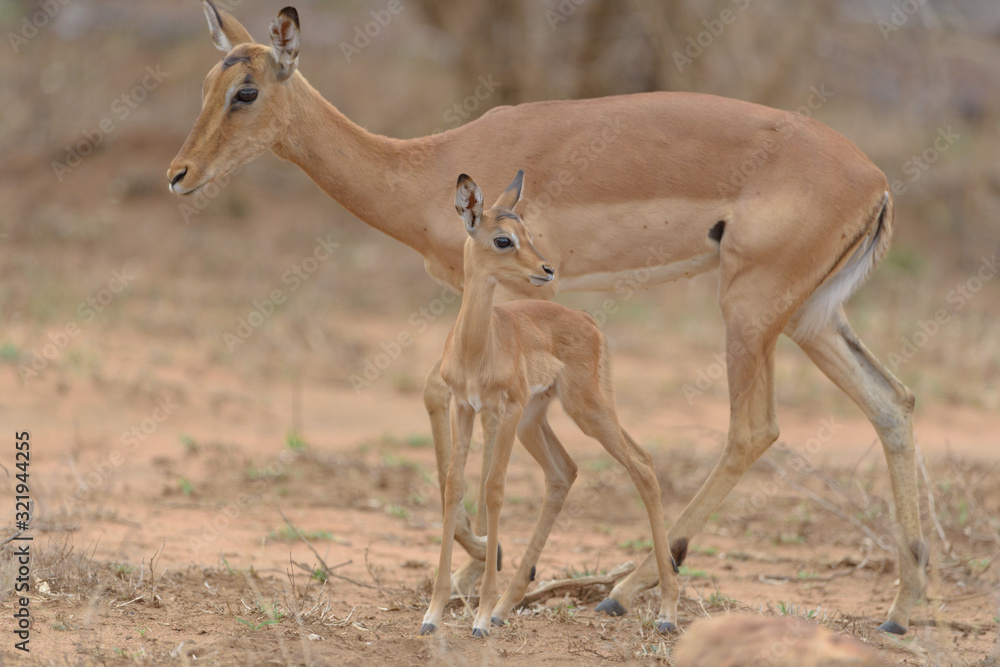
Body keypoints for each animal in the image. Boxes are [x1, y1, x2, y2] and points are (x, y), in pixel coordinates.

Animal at [421, 170, 679, 637]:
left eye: (530, 233)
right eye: (503, 239)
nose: (547, 269)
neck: (477, 346)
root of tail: (588, 320)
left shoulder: (502, 411)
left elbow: (494, 489)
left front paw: (480, 617)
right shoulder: (464, 408)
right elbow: (454, 488)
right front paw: (433, 615)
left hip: (585, 410)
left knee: (642, 464)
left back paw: (665, 610)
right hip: (536, 419)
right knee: (565, 472)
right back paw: (507, 606)